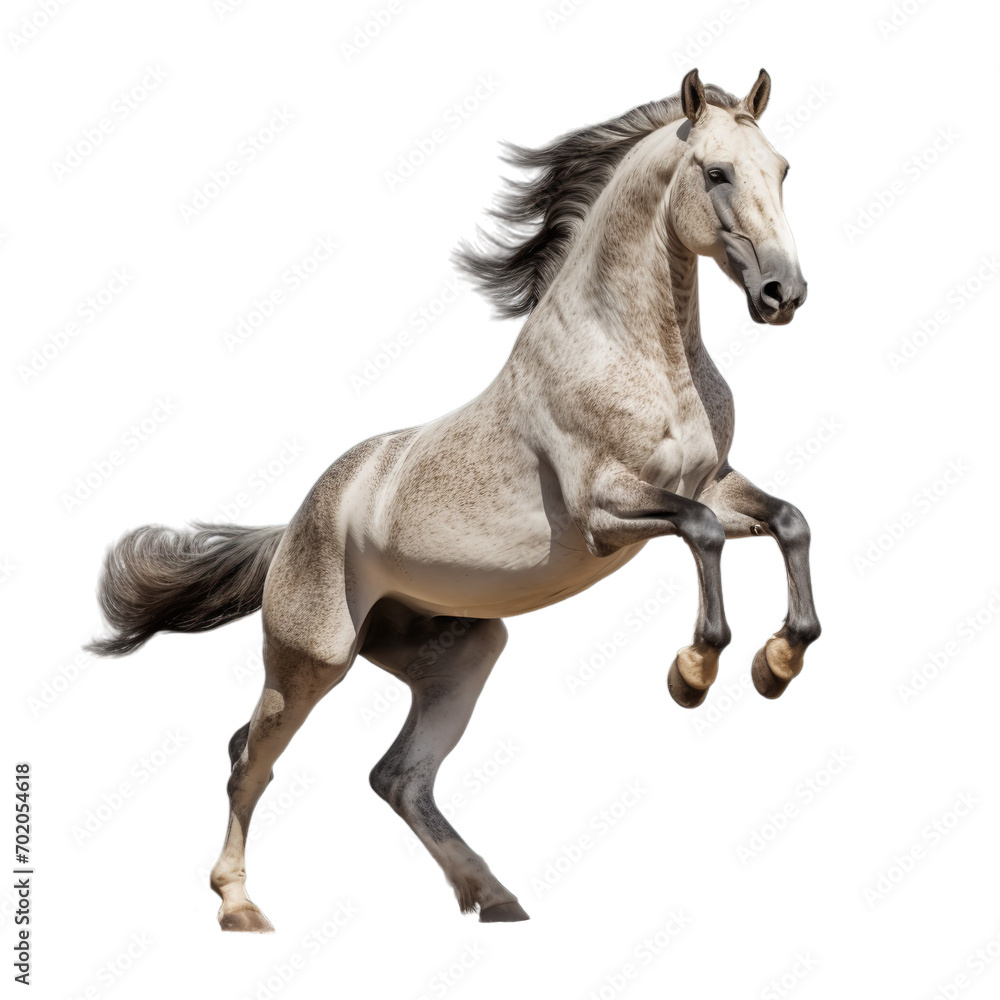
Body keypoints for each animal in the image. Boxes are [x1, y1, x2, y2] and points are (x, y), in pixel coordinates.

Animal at [87, 68, 821, 932]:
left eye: (782, 170)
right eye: (716, 172)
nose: (783, 292)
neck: (643, 357)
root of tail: (298, 522)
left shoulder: (715, 481)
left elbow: (789, 520)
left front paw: (778, 661)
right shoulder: (607, 513)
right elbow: (703, 533)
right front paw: (695, 672)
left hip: (464, 652)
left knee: (398, 776)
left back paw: (495, 898)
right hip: (312, 661)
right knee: (249, 760)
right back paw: (239, 906)